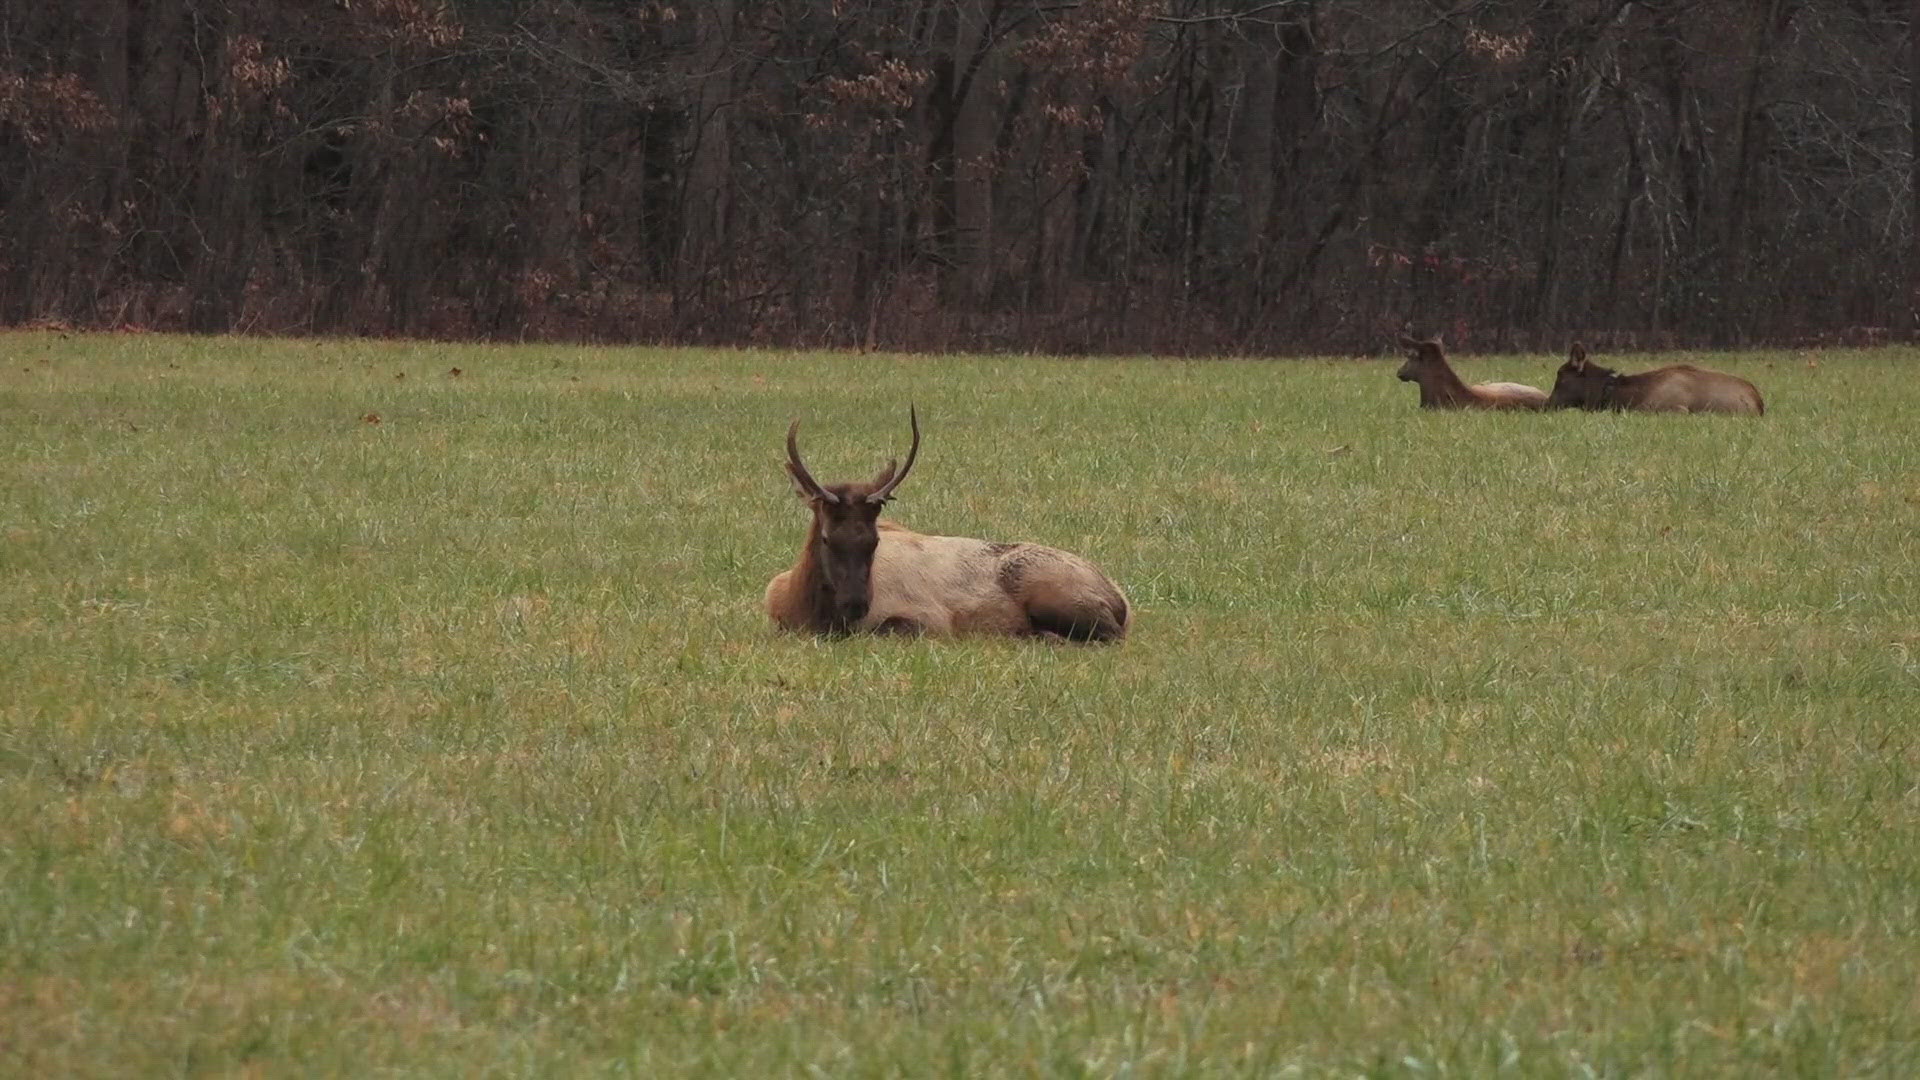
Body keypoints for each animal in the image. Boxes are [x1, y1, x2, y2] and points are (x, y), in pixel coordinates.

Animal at [764, 408, 1132, 642]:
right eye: (827, 538)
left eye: (874, 541)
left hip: (1053, 592)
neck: (802, 609)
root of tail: (1122, 601)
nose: (856, 604)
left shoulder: (930, 620)